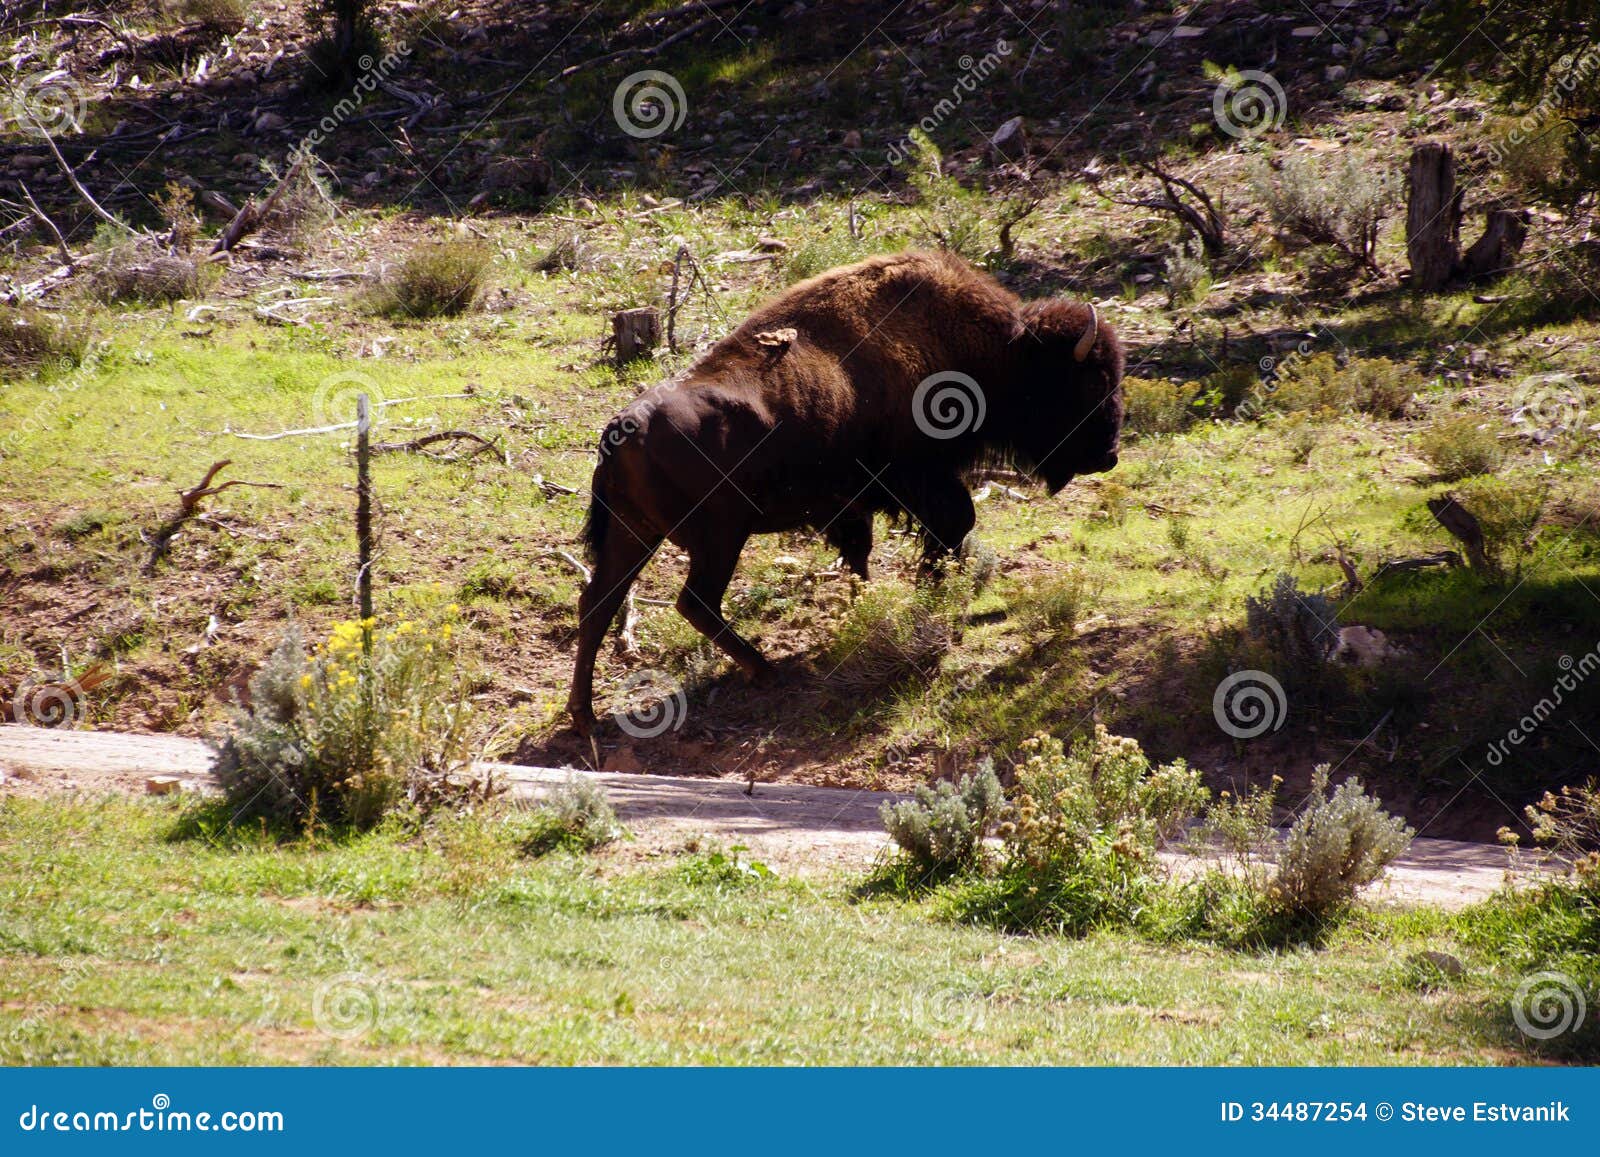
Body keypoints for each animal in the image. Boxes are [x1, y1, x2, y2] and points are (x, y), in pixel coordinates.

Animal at [567, 250, 1124, 735]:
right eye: (1090, 382)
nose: (1109, 455)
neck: (996, 351)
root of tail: (621, 428)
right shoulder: (919, 481)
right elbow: (952, 527)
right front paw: (933, 599)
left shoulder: (854, 507)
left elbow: (861, 554)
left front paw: (867, 608)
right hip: (719, 536)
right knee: (694, 602)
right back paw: (766, 669)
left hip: (636, 534)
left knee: (599, 603)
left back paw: (585, 717)